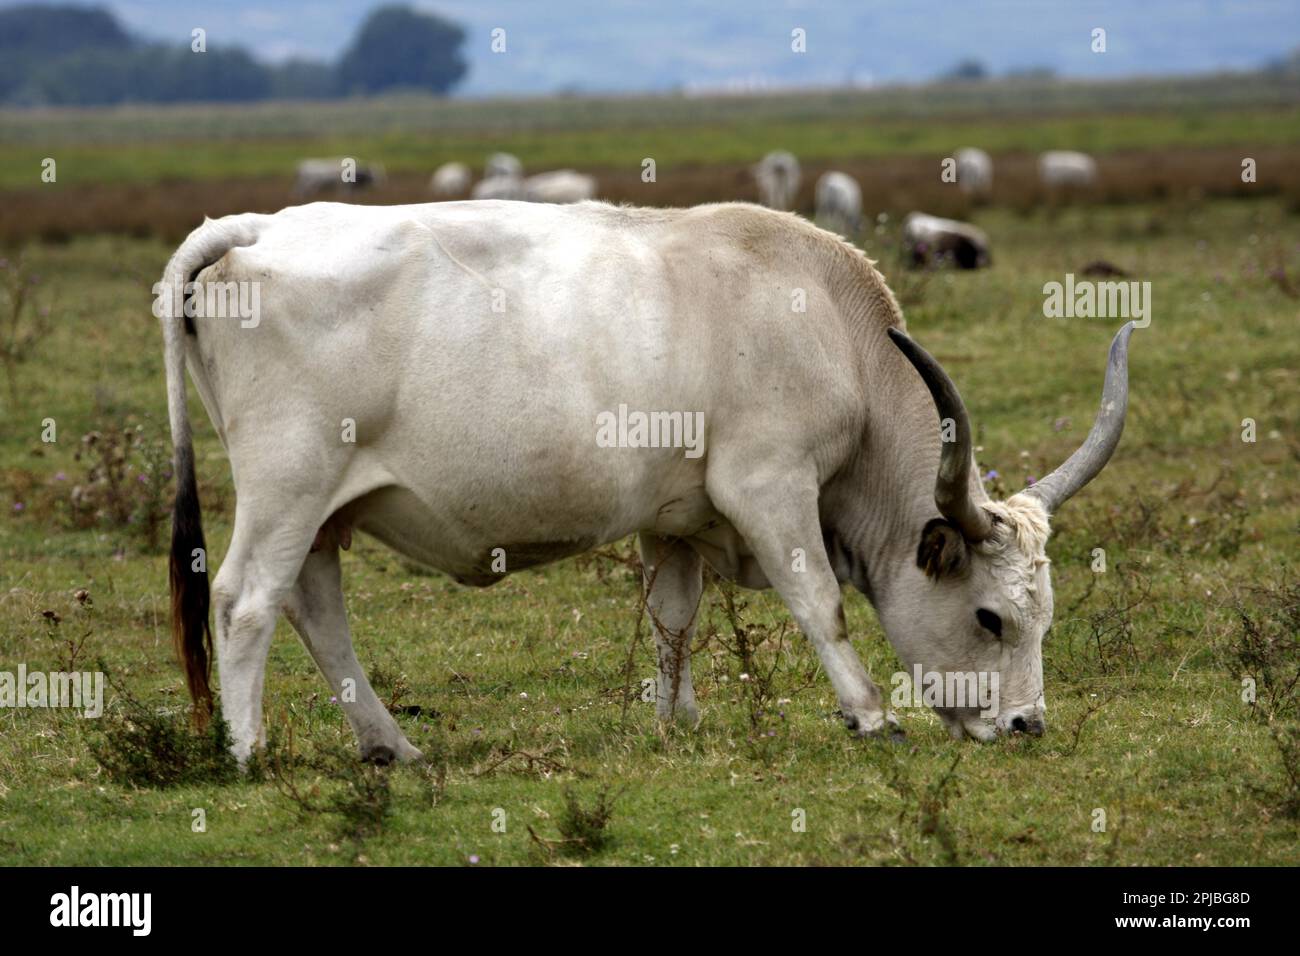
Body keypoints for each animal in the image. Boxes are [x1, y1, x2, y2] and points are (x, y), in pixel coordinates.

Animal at [159, 200, 1134, 764]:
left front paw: (676, 720)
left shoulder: (677, 515)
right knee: (246, 602)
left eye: (1043, 617)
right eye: (990, 617)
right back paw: (248, 751)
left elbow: (674, 616)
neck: (829, 327)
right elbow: (820, 601)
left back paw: (390, 743)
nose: (1028, 725)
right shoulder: (769, 487)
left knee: (316, 607)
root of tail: (255, 226)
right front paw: (867, 714)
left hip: (323, 507)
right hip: (288, 485)